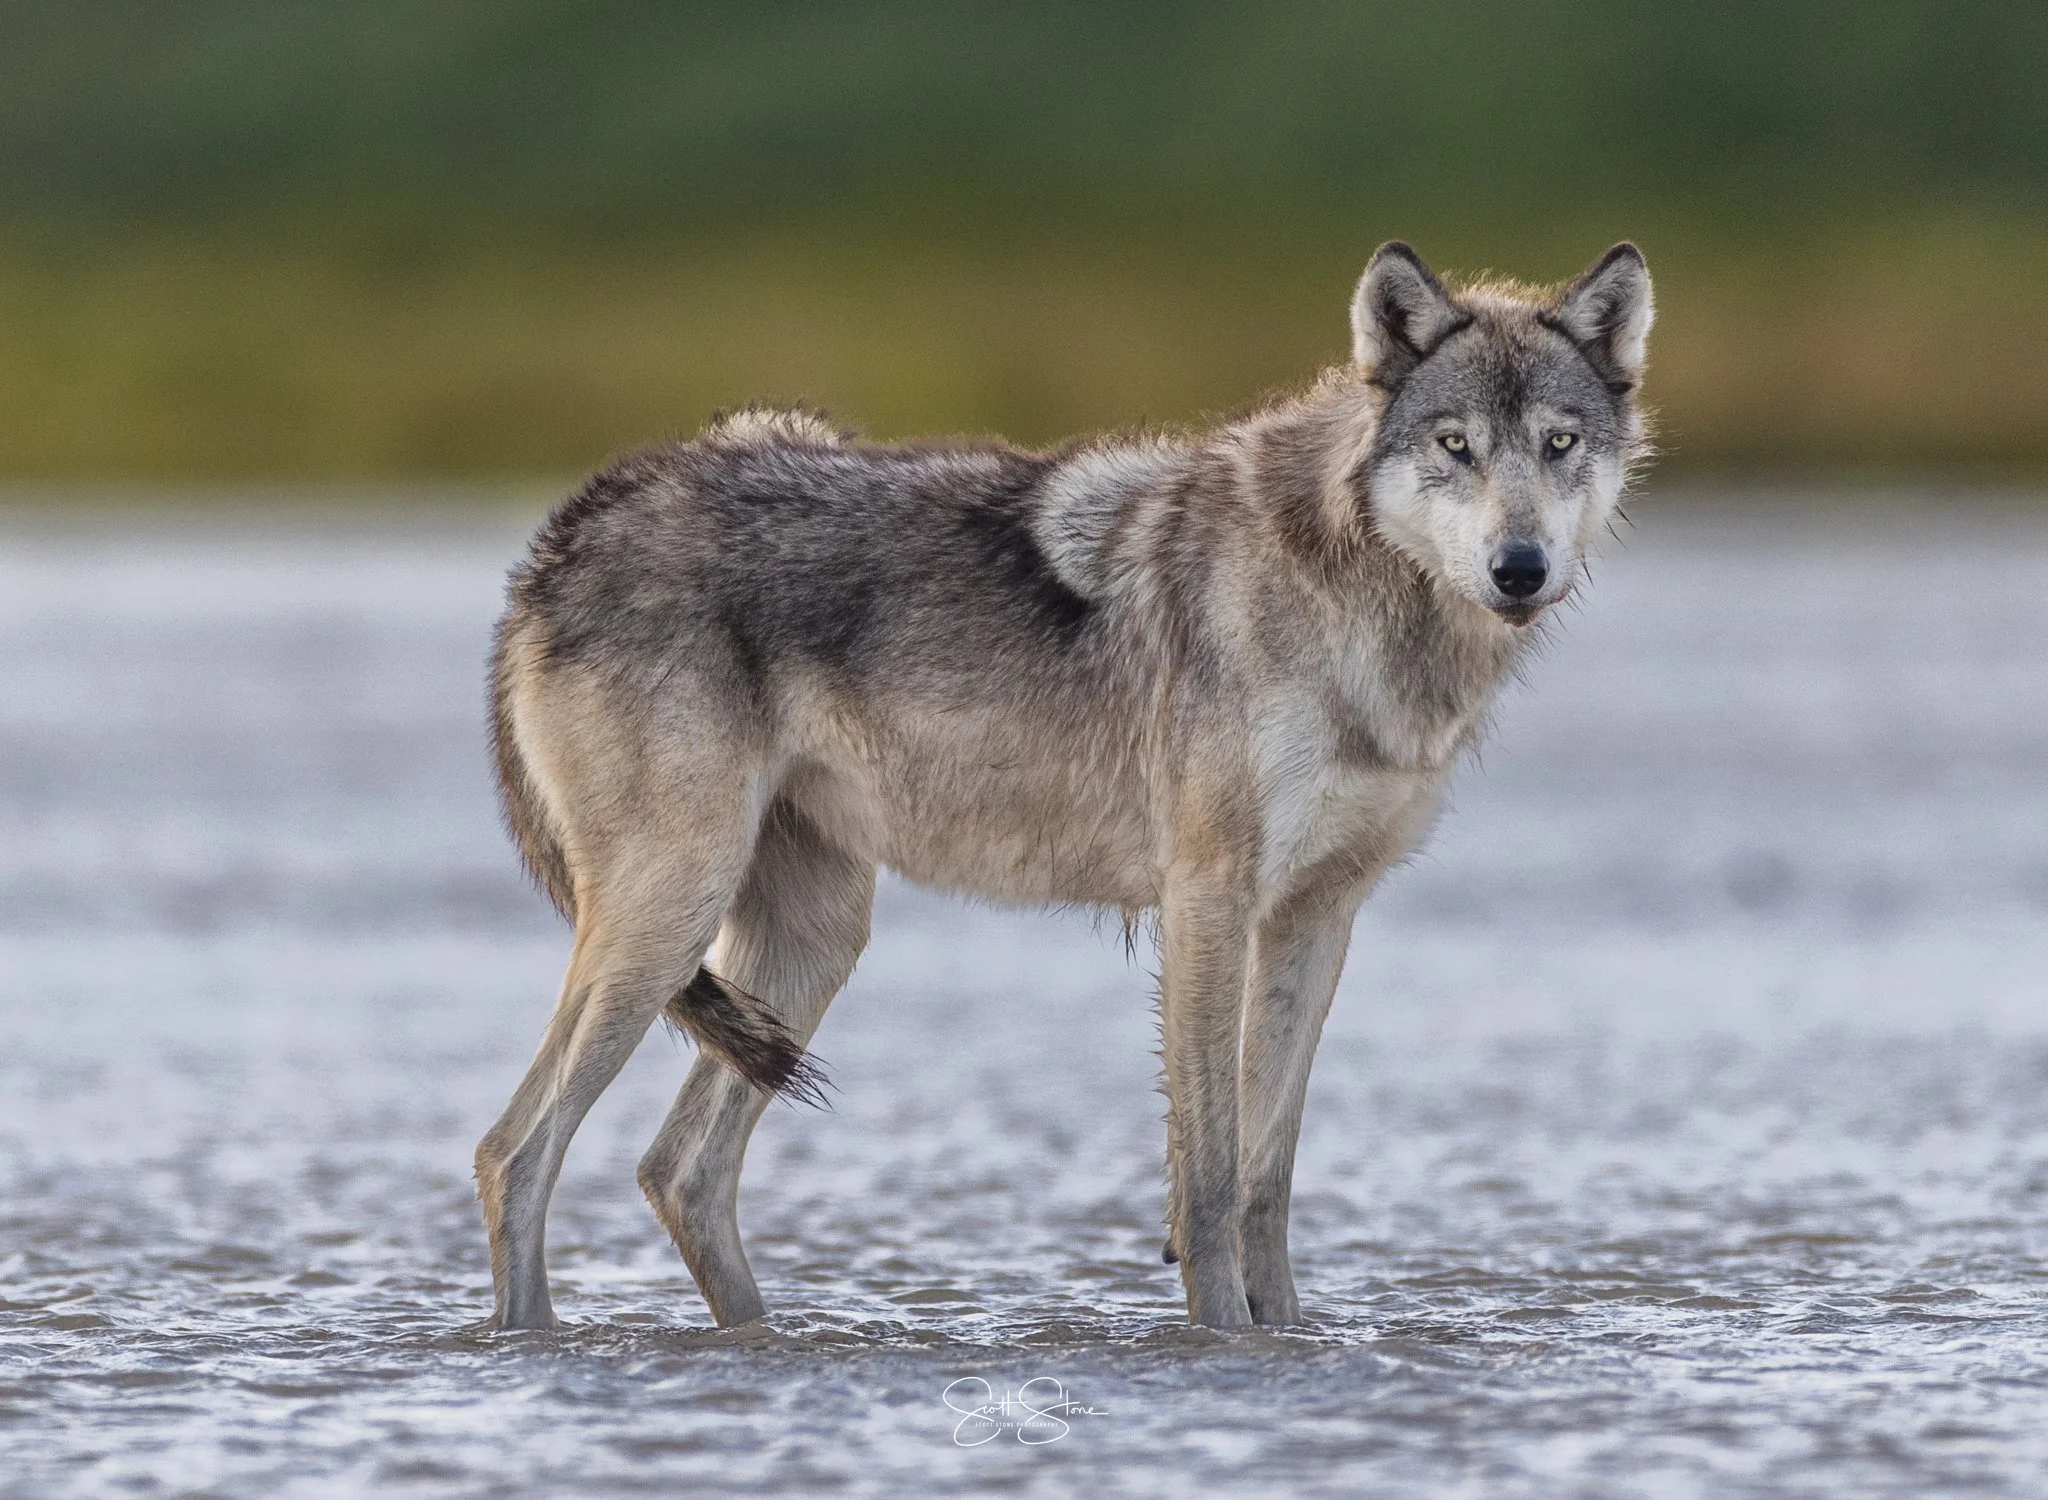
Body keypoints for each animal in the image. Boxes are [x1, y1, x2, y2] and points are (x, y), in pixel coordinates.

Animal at [475, 241, 1654, 1330]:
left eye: (1558, 445)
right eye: (1456, 447)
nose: (1518, 568)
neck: (1353, 599)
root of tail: (565, 532)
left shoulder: (1317, 918)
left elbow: (1267, 1175)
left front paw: (1285, 1339)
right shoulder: (1208, 901)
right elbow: (1210, 1175)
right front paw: (1225, 1342)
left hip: (812, 942)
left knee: (677, 1171)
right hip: (672, 919)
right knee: (514, 1155)